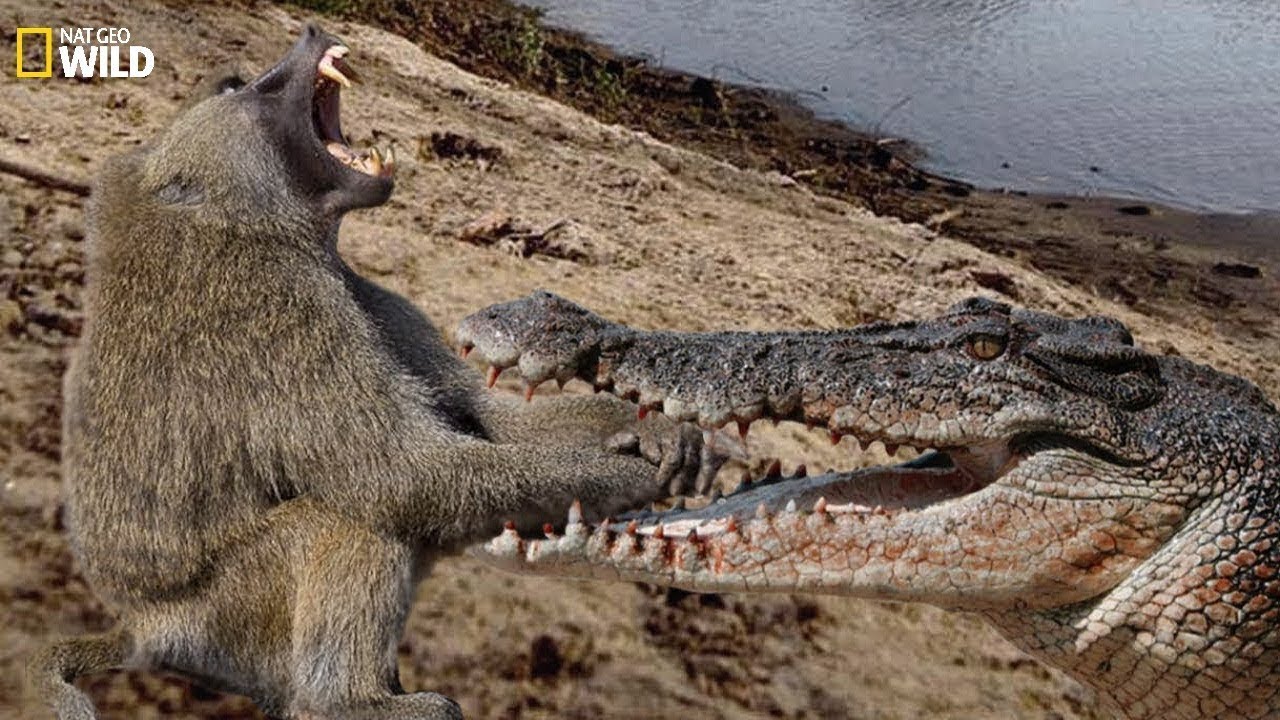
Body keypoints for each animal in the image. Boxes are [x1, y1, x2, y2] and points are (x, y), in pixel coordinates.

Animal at [27, 26, 717, 720]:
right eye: (244, 87)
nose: (310, 33)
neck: (238, 218)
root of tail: (142, 627)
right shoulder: (282, 312)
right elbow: (406, 473)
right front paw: (629, 478)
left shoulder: (363, 293)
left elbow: (482, 413)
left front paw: (654, 429)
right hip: (226, 617)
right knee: (348, 514)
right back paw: (351, 702)